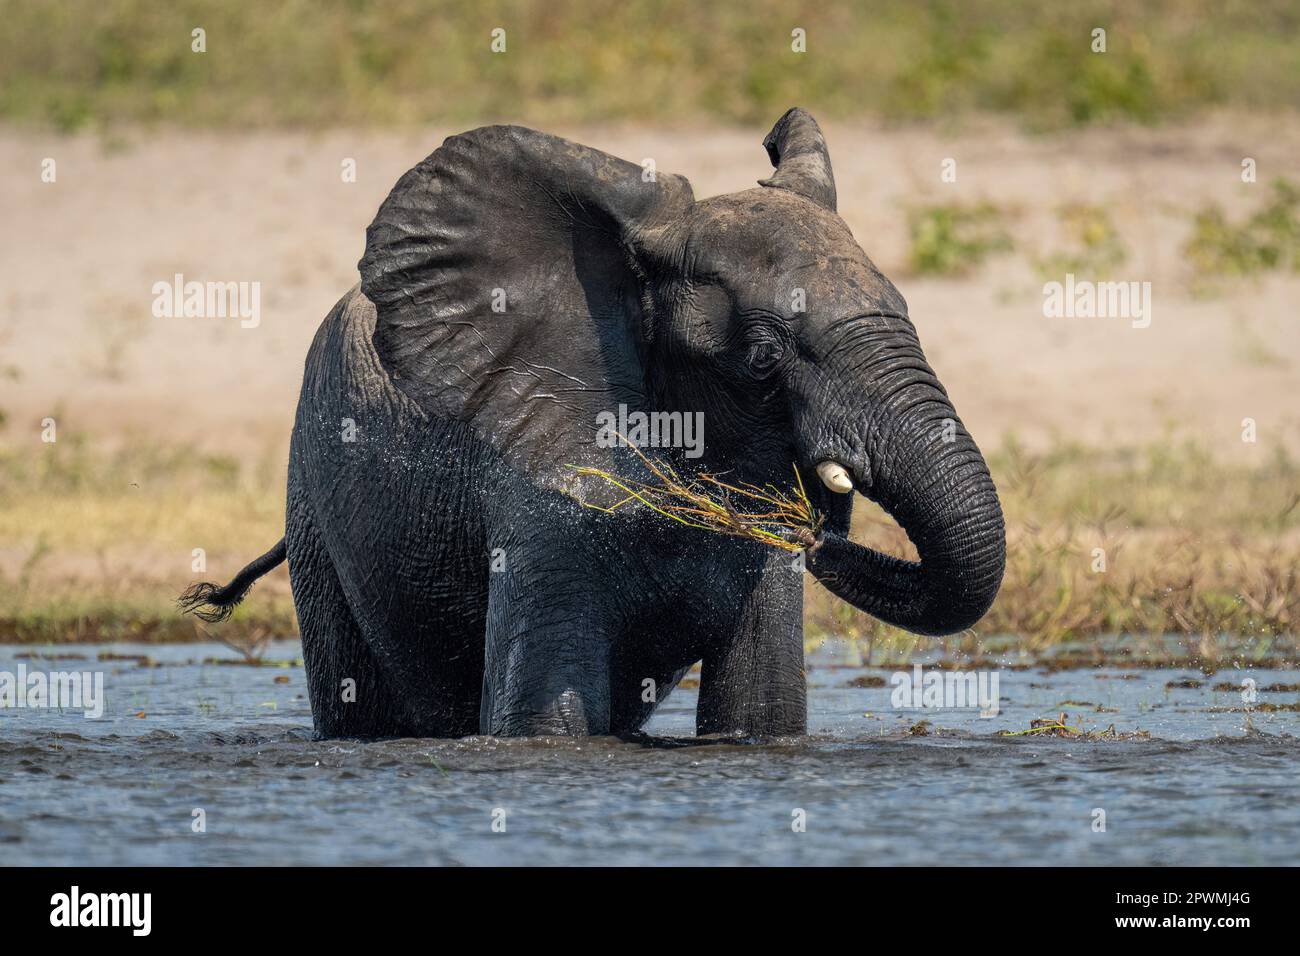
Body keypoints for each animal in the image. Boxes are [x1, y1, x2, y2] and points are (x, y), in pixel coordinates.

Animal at [179, 108, 1005, 739]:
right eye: (765, 357)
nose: (822, 534)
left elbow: (761, 711)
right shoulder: (541, 505)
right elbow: (543, 721)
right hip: (313, 494)